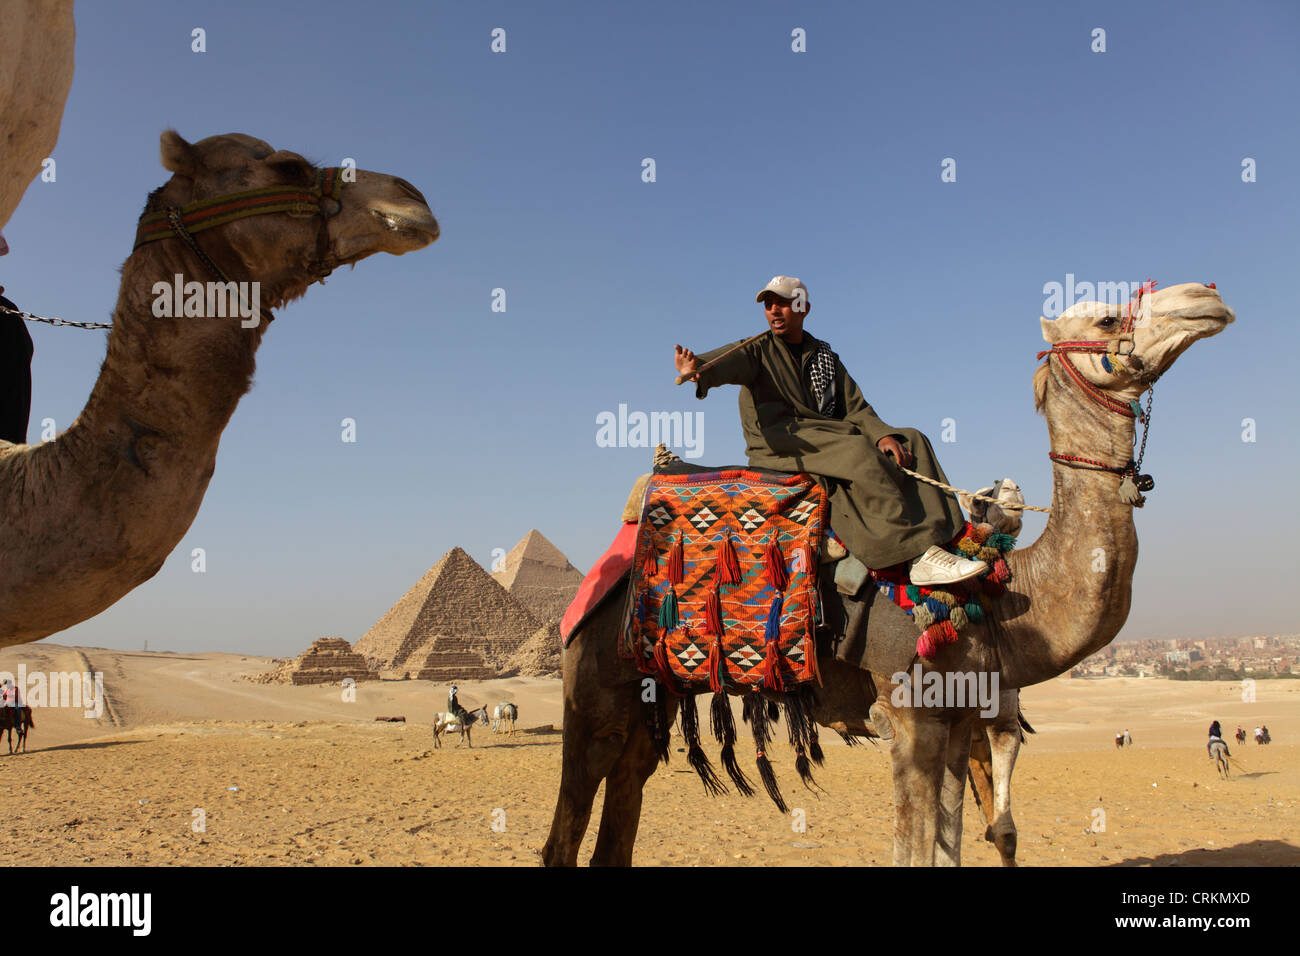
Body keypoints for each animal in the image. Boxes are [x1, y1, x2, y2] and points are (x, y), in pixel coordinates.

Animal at [543, 282, 1233, 866]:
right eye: (1108, 319)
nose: (1207, 298)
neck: (999, 599)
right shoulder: (908, 720)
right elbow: (916, 851)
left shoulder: (958, 722)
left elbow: (955, 843)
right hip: (595, 686)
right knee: (567, 823)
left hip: (648, 699)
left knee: (624, 797)